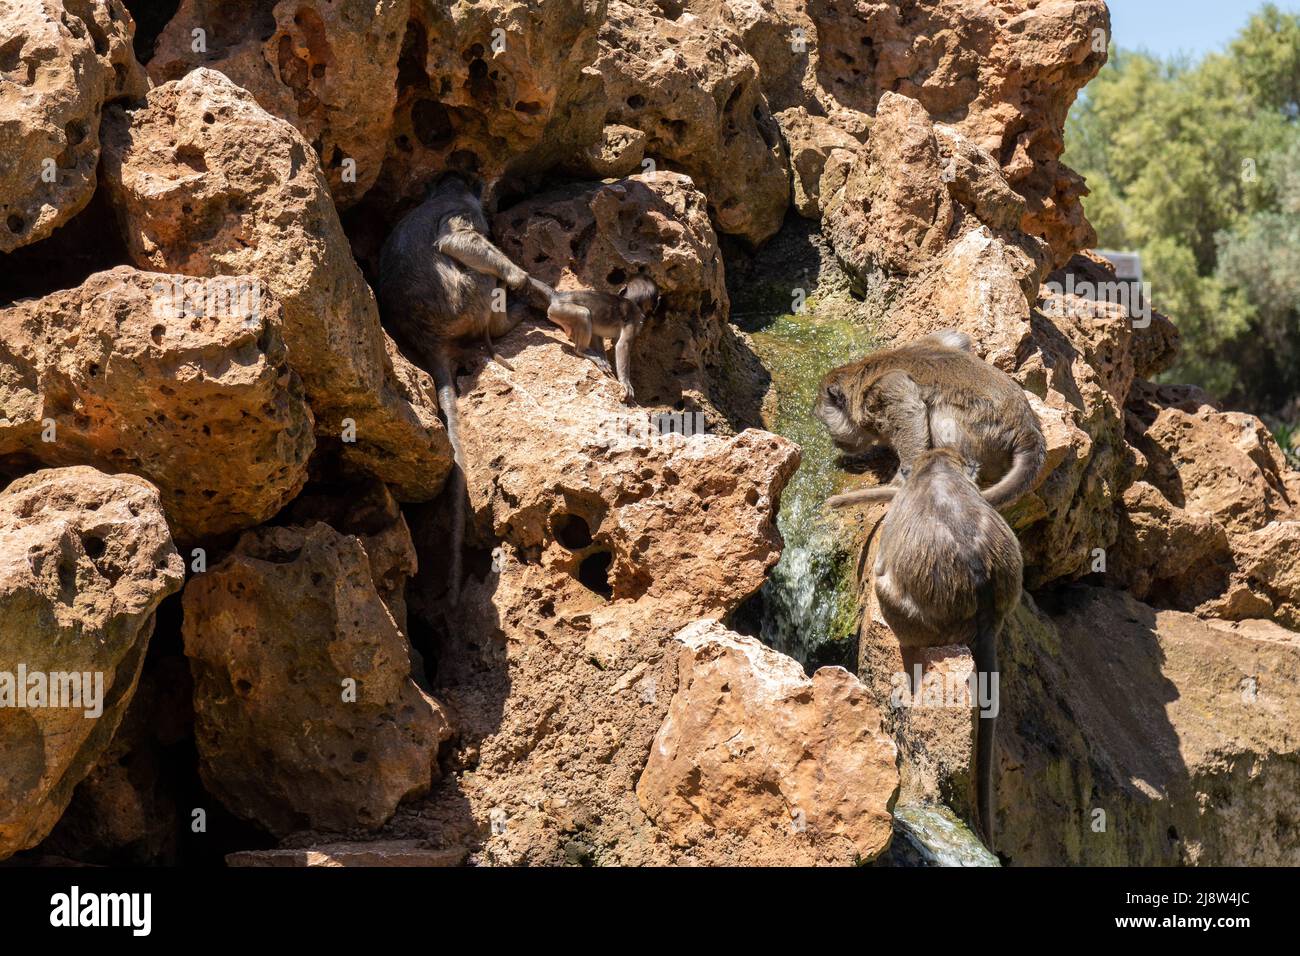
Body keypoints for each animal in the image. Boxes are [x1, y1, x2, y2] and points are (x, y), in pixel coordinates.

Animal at [377, 173, 533, 605]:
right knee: (478, 270)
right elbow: (458, 242)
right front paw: (520, 278)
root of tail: (430, 342)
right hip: (468, 298)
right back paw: (506, 320)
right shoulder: (462, 213)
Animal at [523, 275, 660, 403]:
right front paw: (625, 383)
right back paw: (582, 351)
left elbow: (597, 334)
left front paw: (605, 359)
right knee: (583, 314)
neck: (632, 301)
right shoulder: (636, 320)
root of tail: (558, 295)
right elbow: (623, 345)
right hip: (560, 310)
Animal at [814, 330, 1046, 510]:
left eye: (825, 424)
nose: (834, 441)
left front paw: (900, 481)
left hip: (982, 433)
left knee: (939, 416)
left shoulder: (881, 389)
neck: (860, 377)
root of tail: (1028, 429)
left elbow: (910, 408)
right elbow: (957, 339)